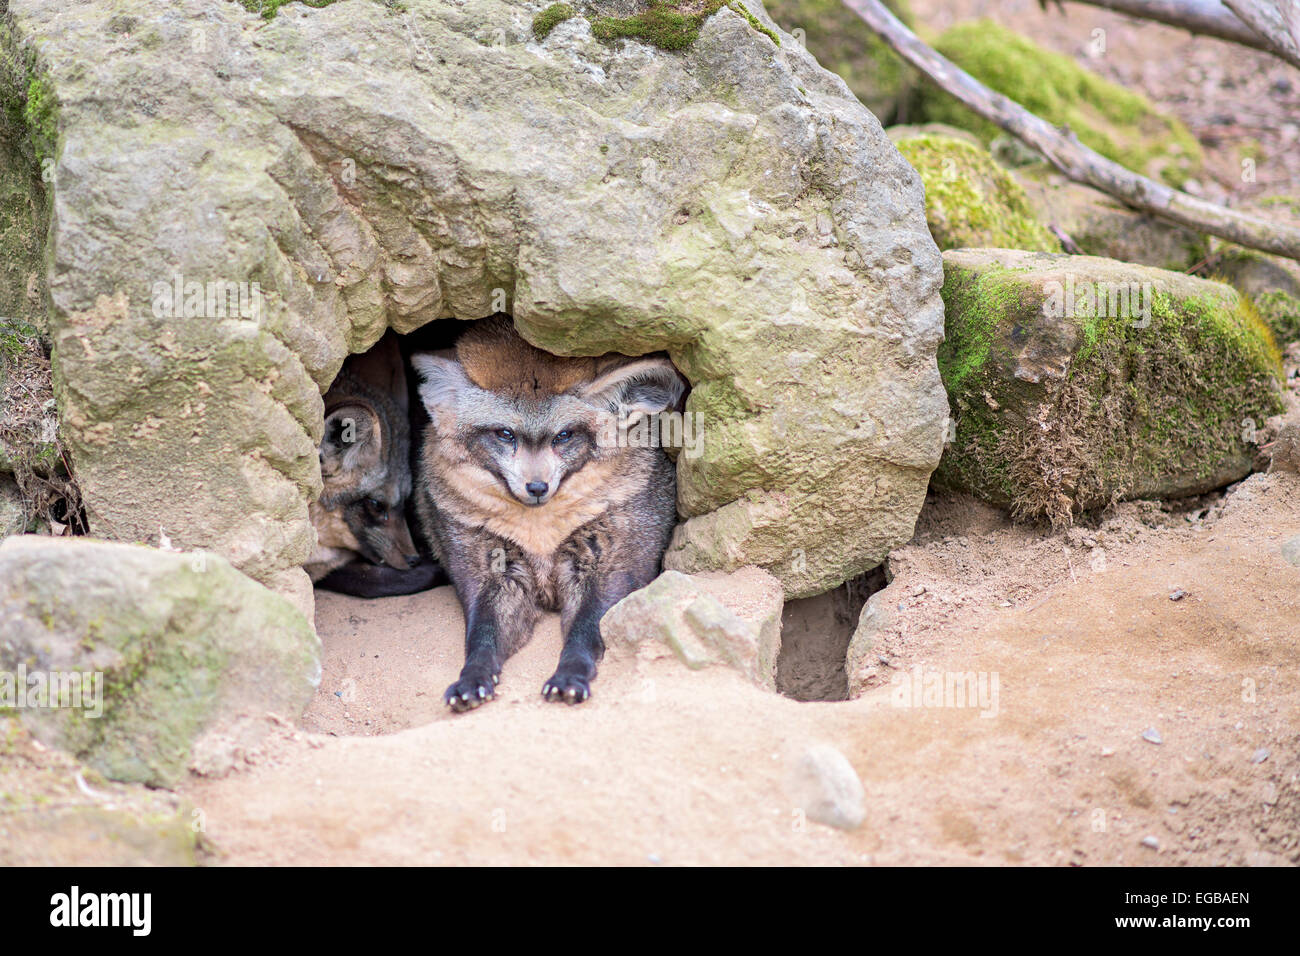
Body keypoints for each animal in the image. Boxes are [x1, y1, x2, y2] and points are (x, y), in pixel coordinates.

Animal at [411, 317, 685, 711]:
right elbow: (481, 640)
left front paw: (570, 676)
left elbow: (584, 634)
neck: (539, 536)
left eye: (564, 436)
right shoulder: (489, 574)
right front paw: (472, 680)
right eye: (505, 434)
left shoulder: (610, 566)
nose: (537, 487)